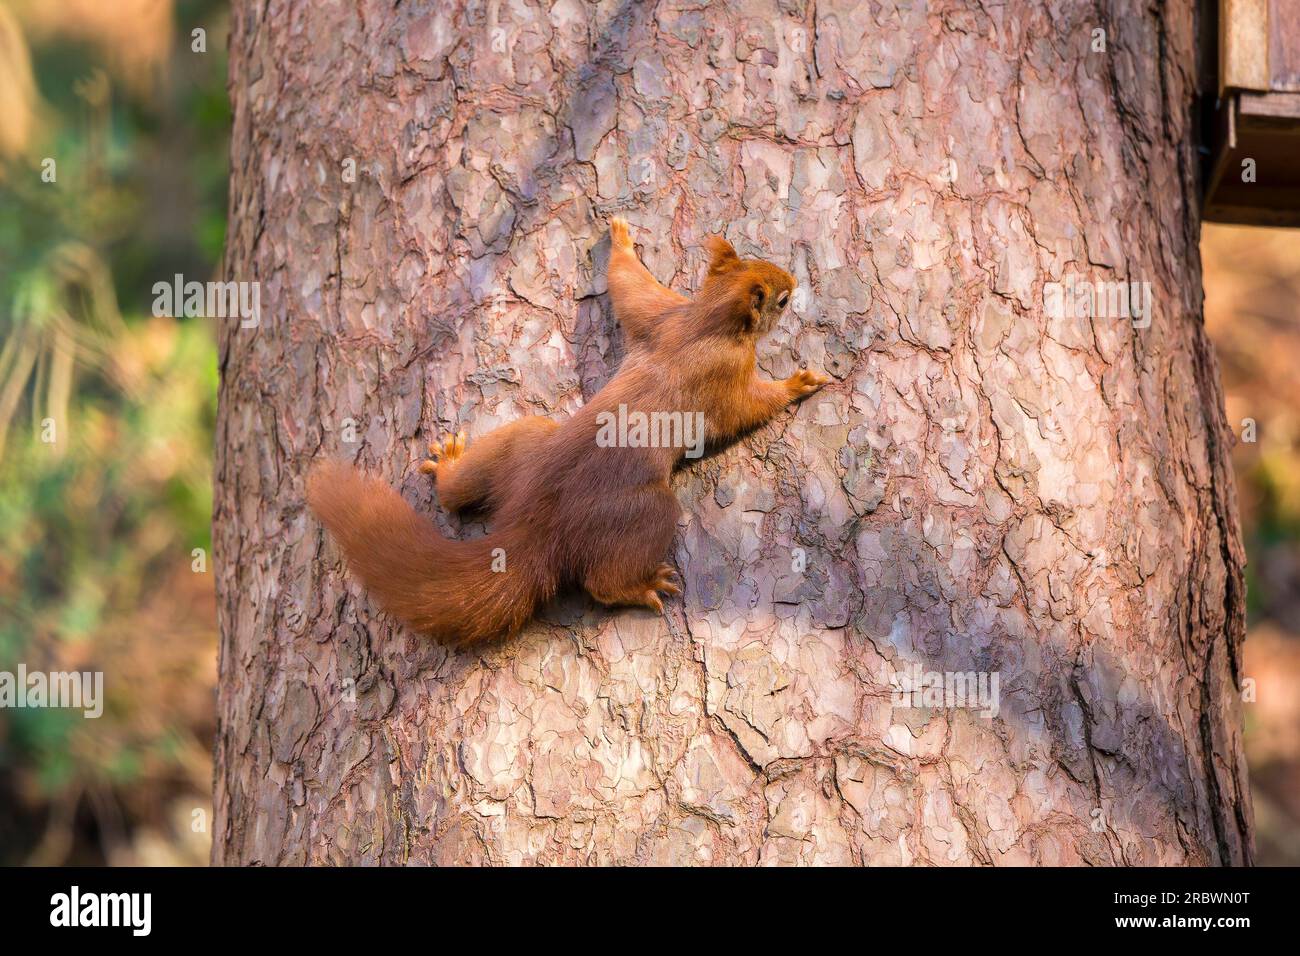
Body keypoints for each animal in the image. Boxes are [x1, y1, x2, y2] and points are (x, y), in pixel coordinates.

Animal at [307, 218, 829, 646]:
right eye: (781, 300)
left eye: (756, 258)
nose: (792, 281)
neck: (707, 319)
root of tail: (533, 525)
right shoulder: (724, 376)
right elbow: (747, 407)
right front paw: (798, 384)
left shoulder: (662, 314)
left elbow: (630, 286)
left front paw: (620, 237)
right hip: (639, 510)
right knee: (603, 583)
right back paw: (642, 587)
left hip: (523, 444)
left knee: (458, 491)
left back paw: (449, 465)